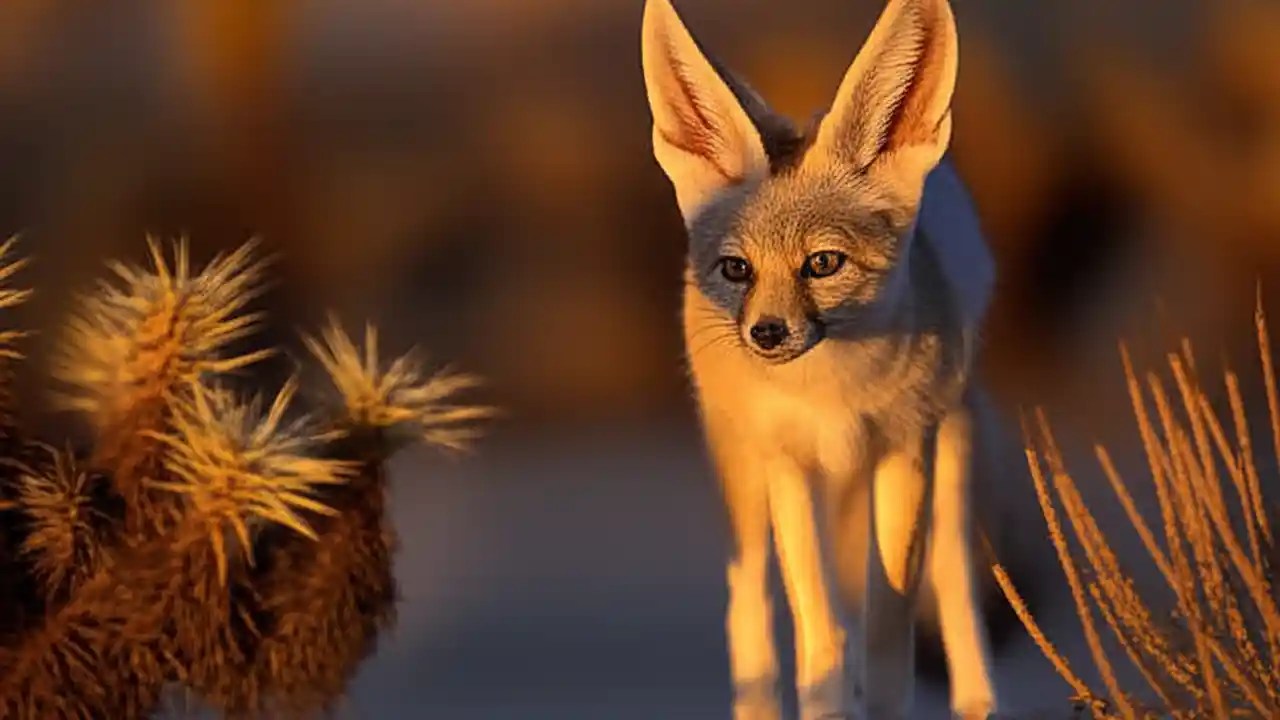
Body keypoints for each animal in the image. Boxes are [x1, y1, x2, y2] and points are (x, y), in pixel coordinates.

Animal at [641, 0, 1006, 718]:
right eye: (737, 270)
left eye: (823, 263)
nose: (767, 334)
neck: (831, 394)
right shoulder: (787, 461)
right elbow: (821, 639)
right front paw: (827, 700)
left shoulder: (905, 451)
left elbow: (888, 633)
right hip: (745, 484)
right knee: (751, 613)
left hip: (950, 455)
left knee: (952, 585)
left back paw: (978, 699)